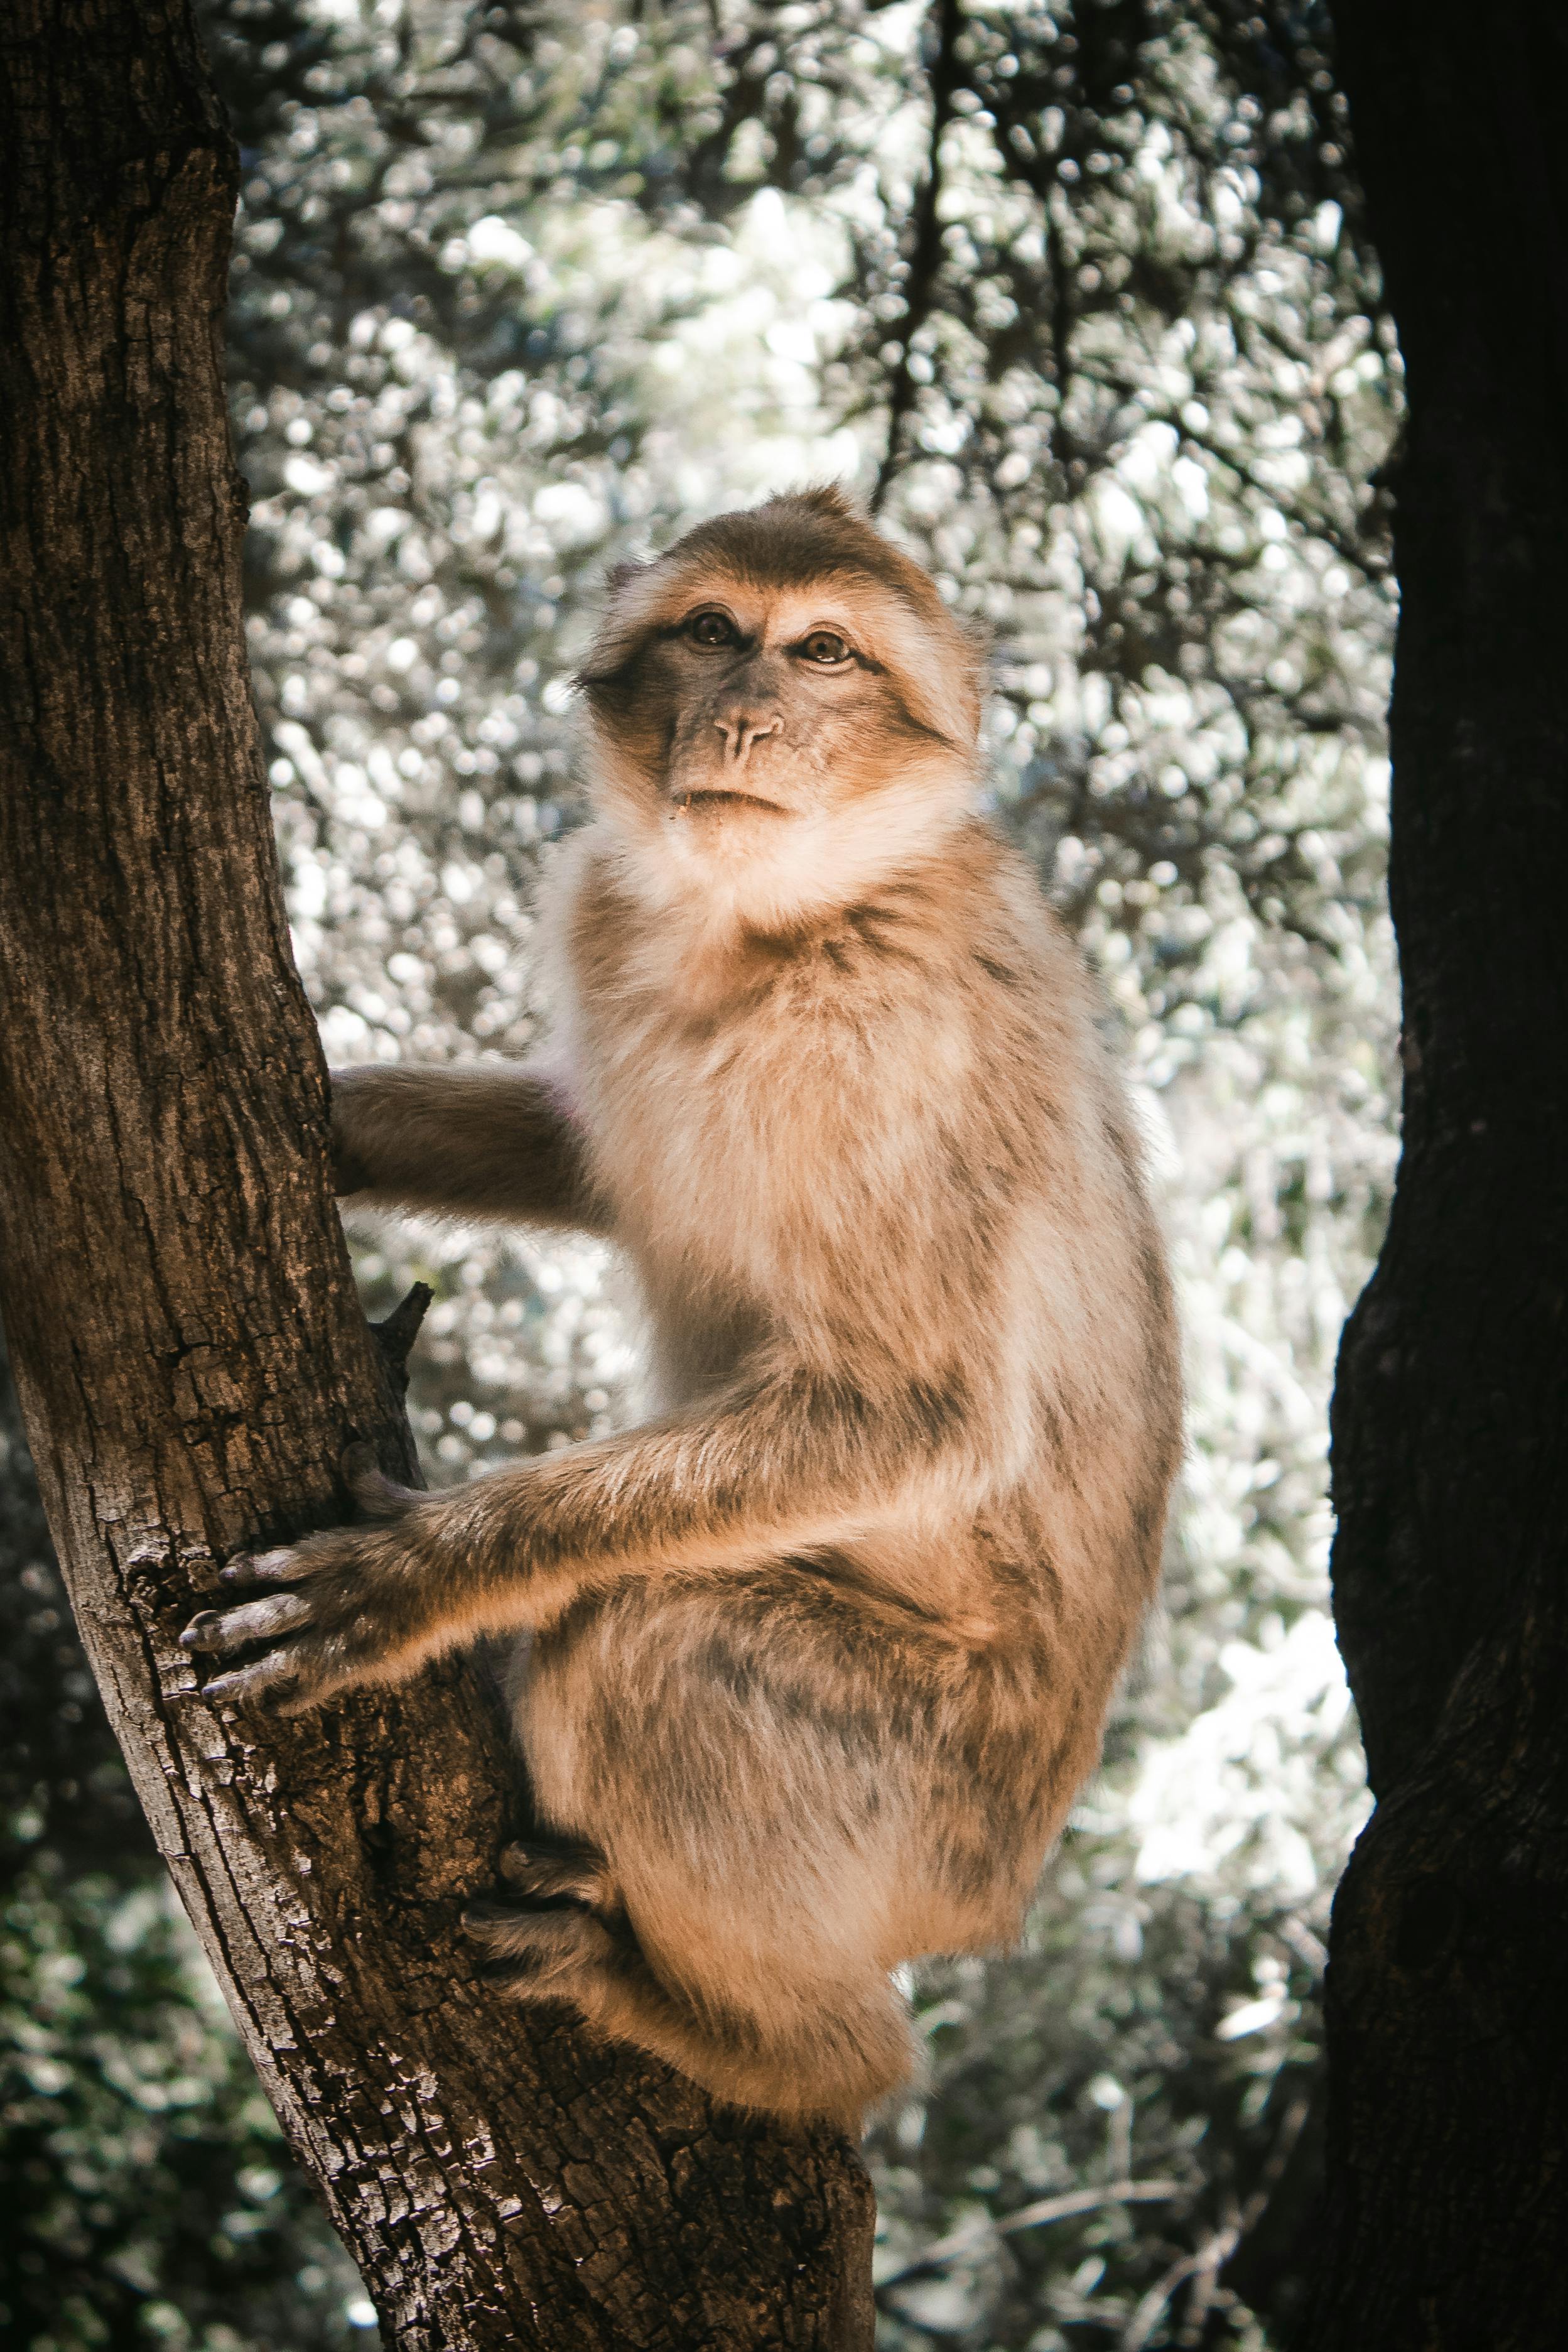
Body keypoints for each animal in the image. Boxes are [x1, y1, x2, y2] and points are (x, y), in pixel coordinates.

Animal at [182, 486, 1182, 2129]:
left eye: (823, 651)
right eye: (714, 631)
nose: (747, 715)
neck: (769, 926)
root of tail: (1005, 1888)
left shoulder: (893, 1044)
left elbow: (921, 1417)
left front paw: (431, 1571)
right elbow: (583, 1145)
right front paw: (341, 1126)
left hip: (911, 1803)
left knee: (645, 1649)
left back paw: (794, 2048)